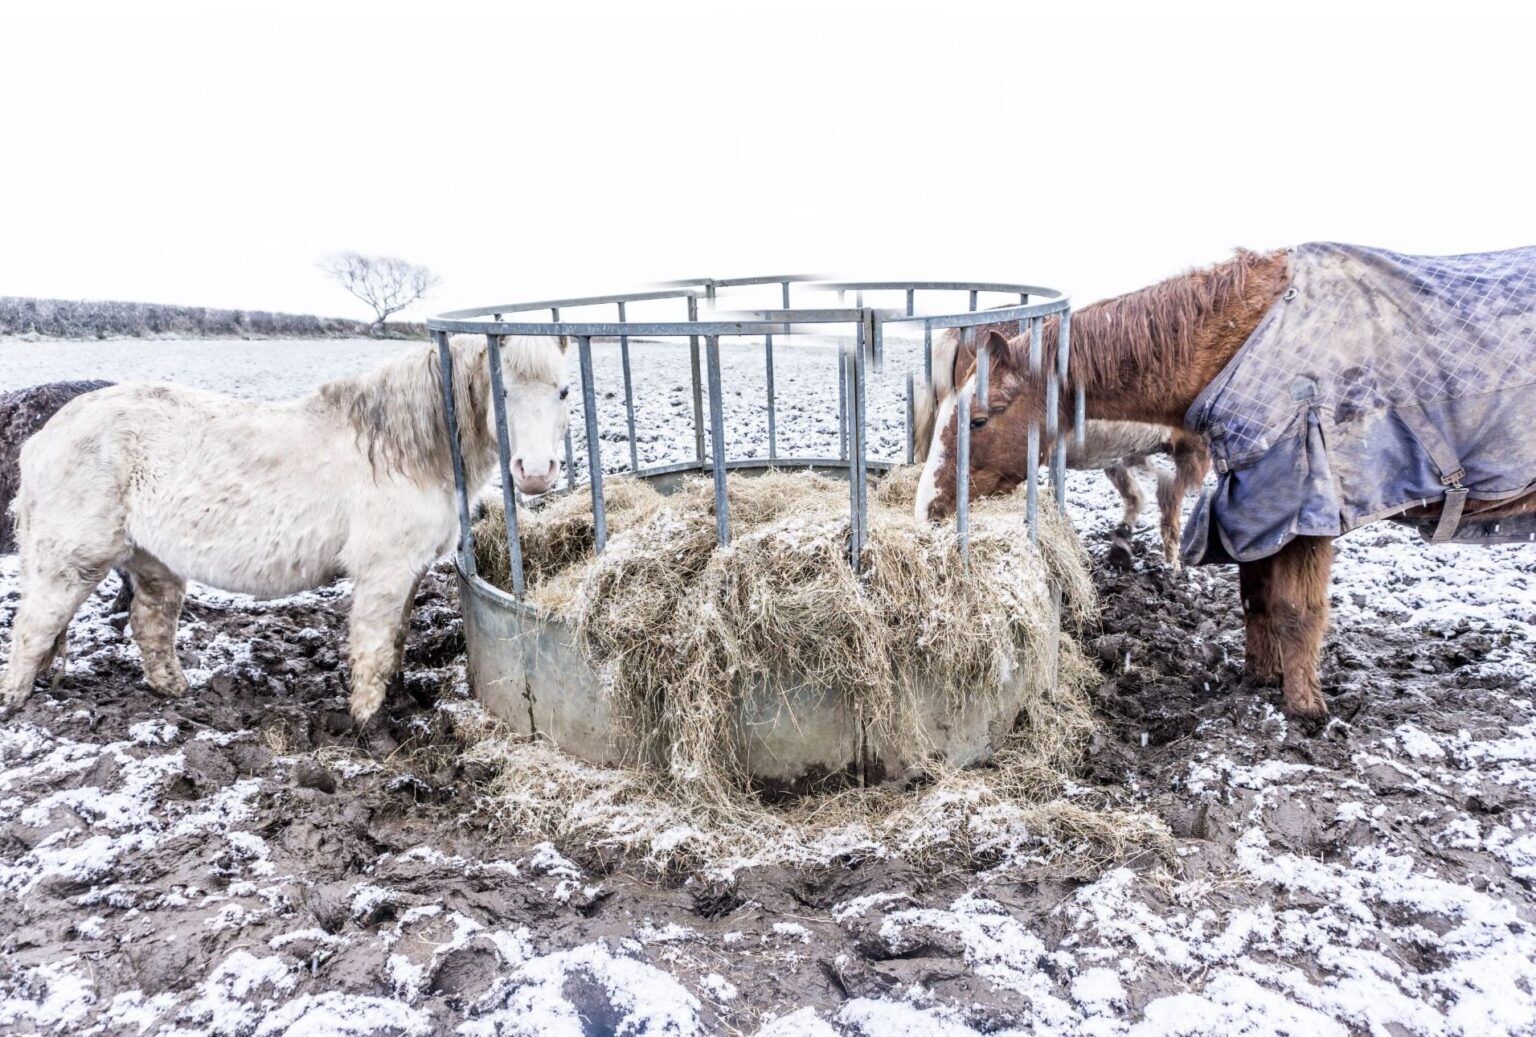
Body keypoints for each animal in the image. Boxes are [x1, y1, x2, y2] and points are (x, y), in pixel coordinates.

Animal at [0, 335, 569, 723]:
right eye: (502, 392)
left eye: (564, 392)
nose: (537, 473)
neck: (405, 452)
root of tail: (44, 436)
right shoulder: (383, 572)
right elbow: (373, 647)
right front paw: (368, 721)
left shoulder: (408, 572)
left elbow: (397, 639)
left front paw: (398, 698)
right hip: (71, 562)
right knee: (34, 629)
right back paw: (15, 701)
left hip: (153, 560)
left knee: (150, 624)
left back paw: (177, 694)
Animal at [913, 329, 1210, 567]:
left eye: (977, 422)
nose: (929, 511)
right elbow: (1166, 500)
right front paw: (1173, 562)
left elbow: (1140, 494)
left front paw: (1124, 547)